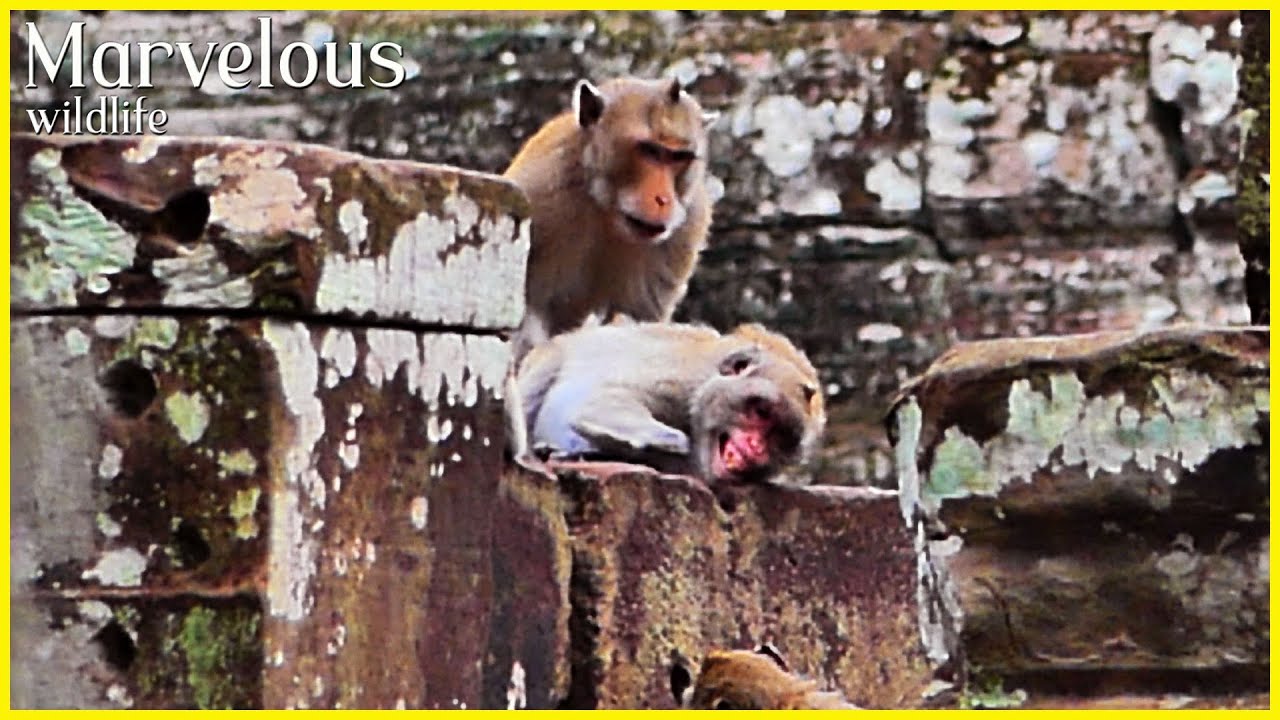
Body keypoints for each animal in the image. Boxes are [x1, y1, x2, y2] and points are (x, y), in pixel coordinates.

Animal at [502, 76, 717, 362]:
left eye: (678, 157)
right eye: (650, 151)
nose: (663, 200)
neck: (607, 207)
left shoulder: (687, 226)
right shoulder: (541, 190)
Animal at [510, 321, 825, 485]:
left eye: (780, 436)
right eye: (760, 411)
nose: (756, 447)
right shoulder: (679, 382)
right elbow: (599, 404)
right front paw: (670, 439)